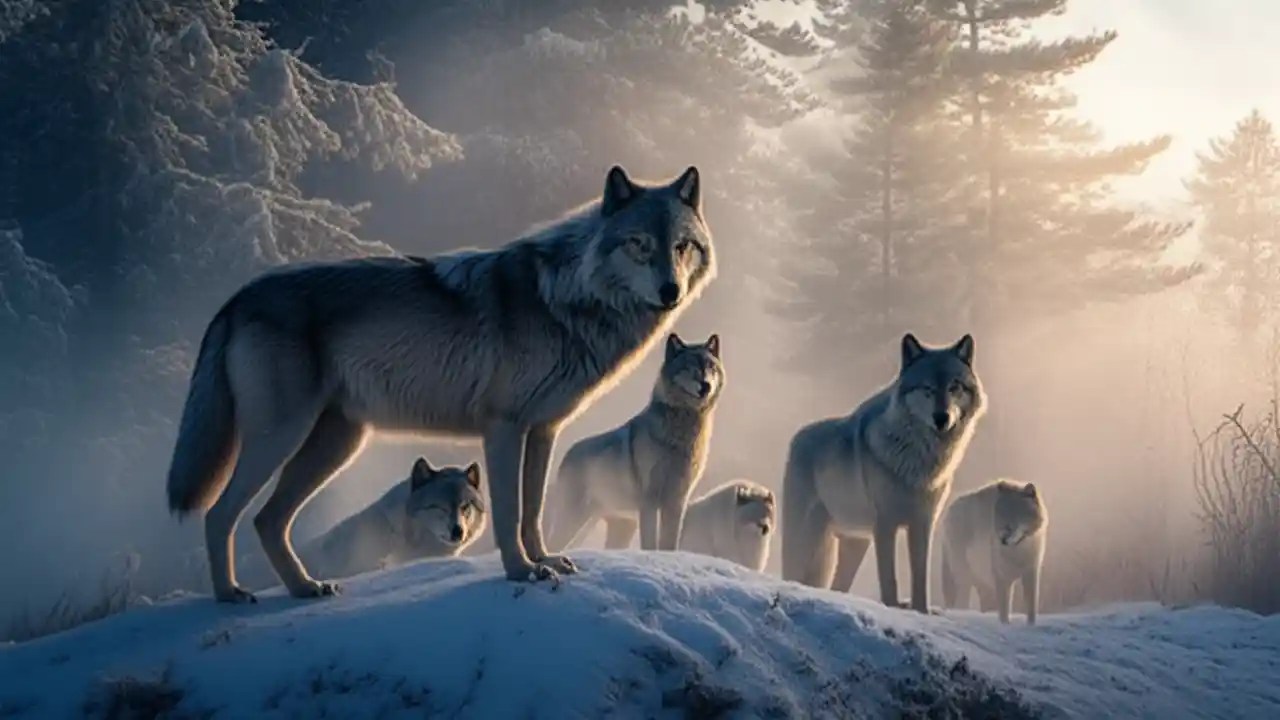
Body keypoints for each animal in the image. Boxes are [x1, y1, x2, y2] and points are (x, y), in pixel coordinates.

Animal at [545, 332, 724, 553]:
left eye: (710, 367)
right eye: (688, 367)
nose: (705, 385)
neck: (680, 437)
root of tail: (568, 453)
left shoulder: (677, 502)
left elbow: (669, 544)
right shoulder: (649, 501)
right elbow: (649, 544)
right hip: (574, 521)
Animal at [781, 333, 987, 613]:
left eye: (955, 387)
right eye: (927, 388)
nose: (941, 417)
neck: (919, 459)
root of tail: (797, 437)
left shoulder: (923, 522)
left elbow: (920, 578)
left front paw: (920, 611)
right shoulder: (885, 524)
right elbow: (889, 579)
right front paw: (892, 606)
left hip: (854, 544)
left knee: (837, 587)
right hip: (804, 543)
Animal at [940, 479, 1047, 625]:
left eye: (1016, 513)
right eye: (1000, 515)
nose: (1002, 538)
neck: (1018, 550)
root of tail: (948, 511)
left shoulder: (1031, 573)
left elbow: (1031, 608)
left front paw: (1031, 625)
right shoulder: (1001, 577)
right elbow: (1004, 609)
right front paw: (1005, 625)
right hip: (965, 576)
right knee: (962, 601)